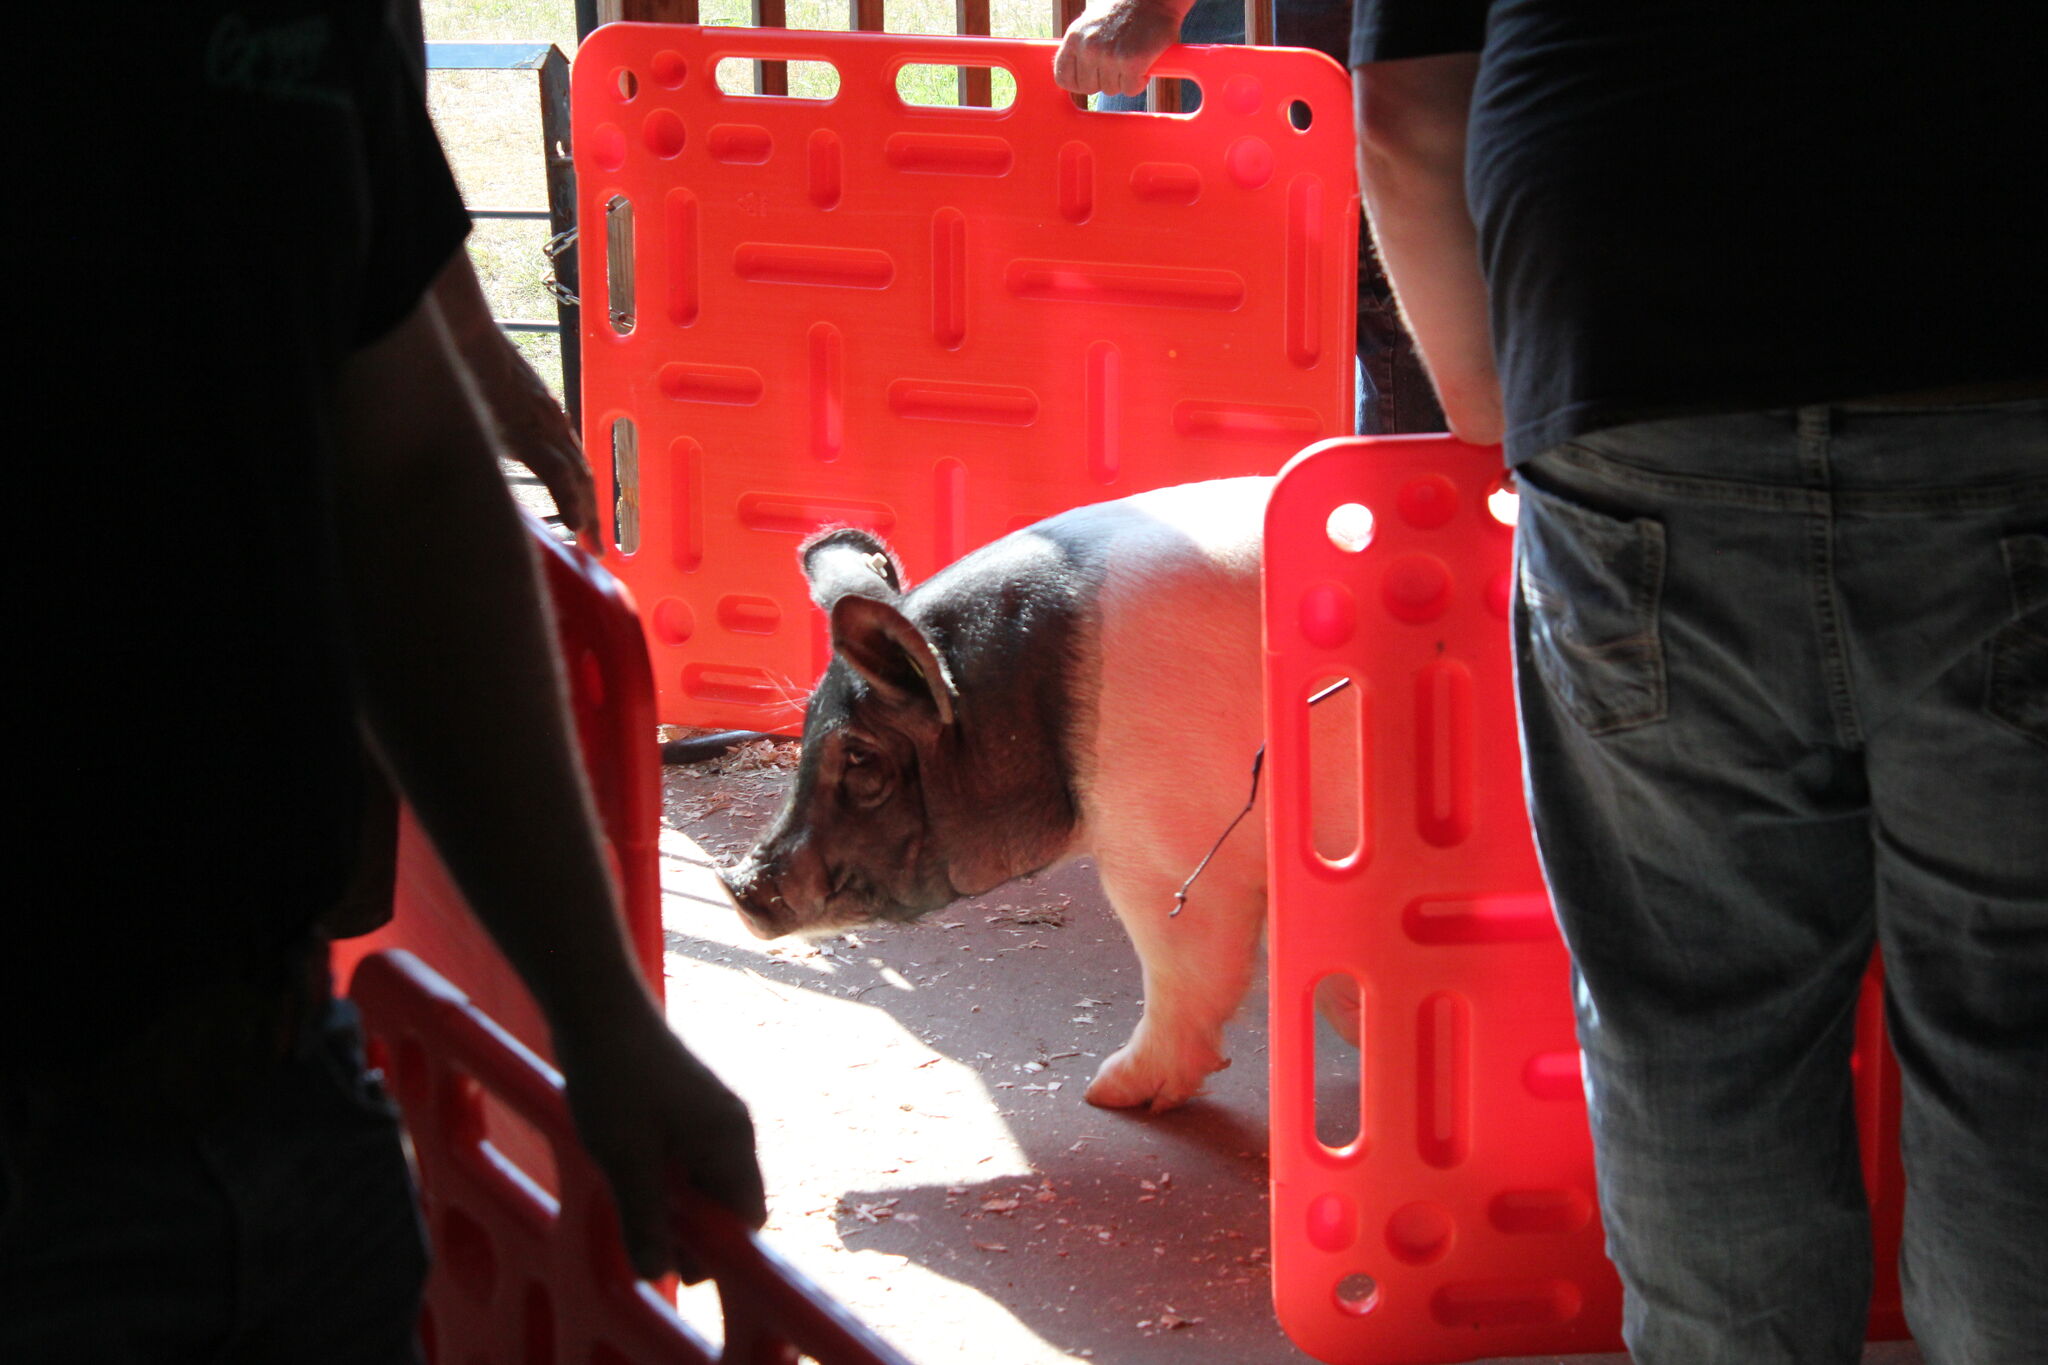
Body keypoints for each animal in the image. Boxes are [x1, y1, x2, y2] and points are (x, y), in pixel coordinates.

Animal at [718, 477, 1354, 1112]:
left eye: (860, 757)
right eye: (807, 727)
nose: (735, 885)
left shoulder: (1169, 854)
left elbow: (1187, 972)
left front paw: (1106, 1093)